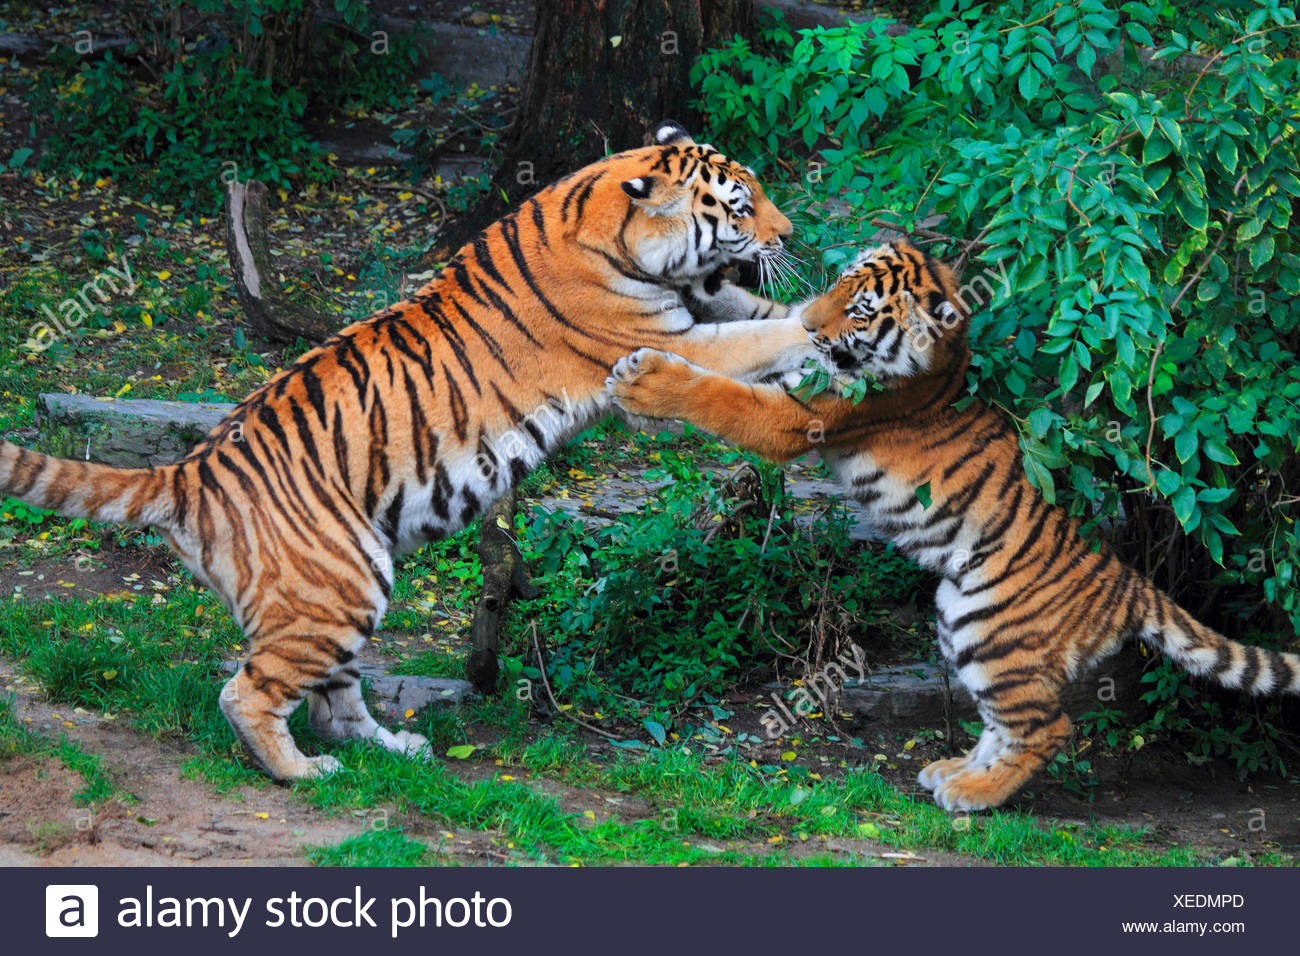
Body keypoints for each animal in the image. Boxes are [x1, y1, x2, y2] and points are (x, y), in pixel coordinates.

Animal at [0, 121, 813, 782]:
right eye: (739, 205)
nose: (790, 232)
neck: (614, 229)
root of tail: (185, 471)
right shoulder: (668, 342)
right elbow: (765, 335)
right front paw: (823, 331)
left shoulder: (700, 306)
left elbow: (768, 313)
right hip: (339, 584)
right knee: (247, 691)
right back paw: (302, 772)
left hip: (335, 600)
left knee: (333, 700)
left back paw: (394, 748)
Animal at [606, 238, 1300, 811]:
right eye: (837, 284)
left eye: (860, 310)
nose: (811, 324)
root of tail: (1132, 582)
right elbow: (761, 315)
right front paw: (712, 288)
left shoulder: (801, 414)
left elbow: (721, 395)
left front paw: (644, 378)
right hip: (962, 622)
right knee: (1006, 723)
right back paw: (955, 774)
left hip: (995, 630)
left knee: (1049, 728)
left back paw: (973, 796)